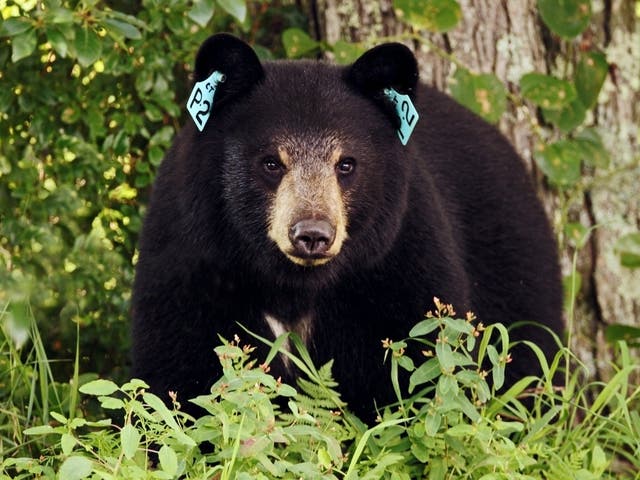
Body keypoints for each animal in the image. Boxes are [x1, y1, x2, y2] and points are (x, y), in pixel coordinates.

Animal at [131, 33, 563, 422]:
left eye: (346, 164)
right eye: (271, 162)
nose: (312, 234)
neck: (293, 285)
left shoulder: (397, 261)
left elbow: (420, 369)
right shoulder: (195, 262)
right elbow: (184, 374)